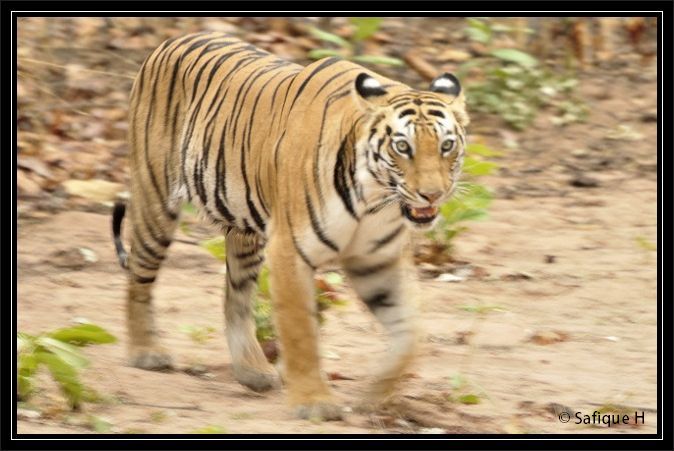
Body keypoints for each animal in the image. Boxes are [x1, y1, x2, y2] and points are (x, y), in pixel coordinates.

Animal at [112, 31, 469, 421]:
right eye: (402, 147)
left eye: (447, 145)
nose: (432, 194)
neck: (375, 201)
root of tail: (173, 40)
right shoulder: (290, 252)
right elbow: (301, 332)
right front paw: (314, 402)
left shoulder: (377, 262)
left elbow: (410, 333)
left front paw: (375, 395)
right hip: (156, 201)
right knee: (139, 278)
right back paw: (146, 352)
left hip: (246, 230)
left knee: (236, 297)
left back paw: (253, 371)